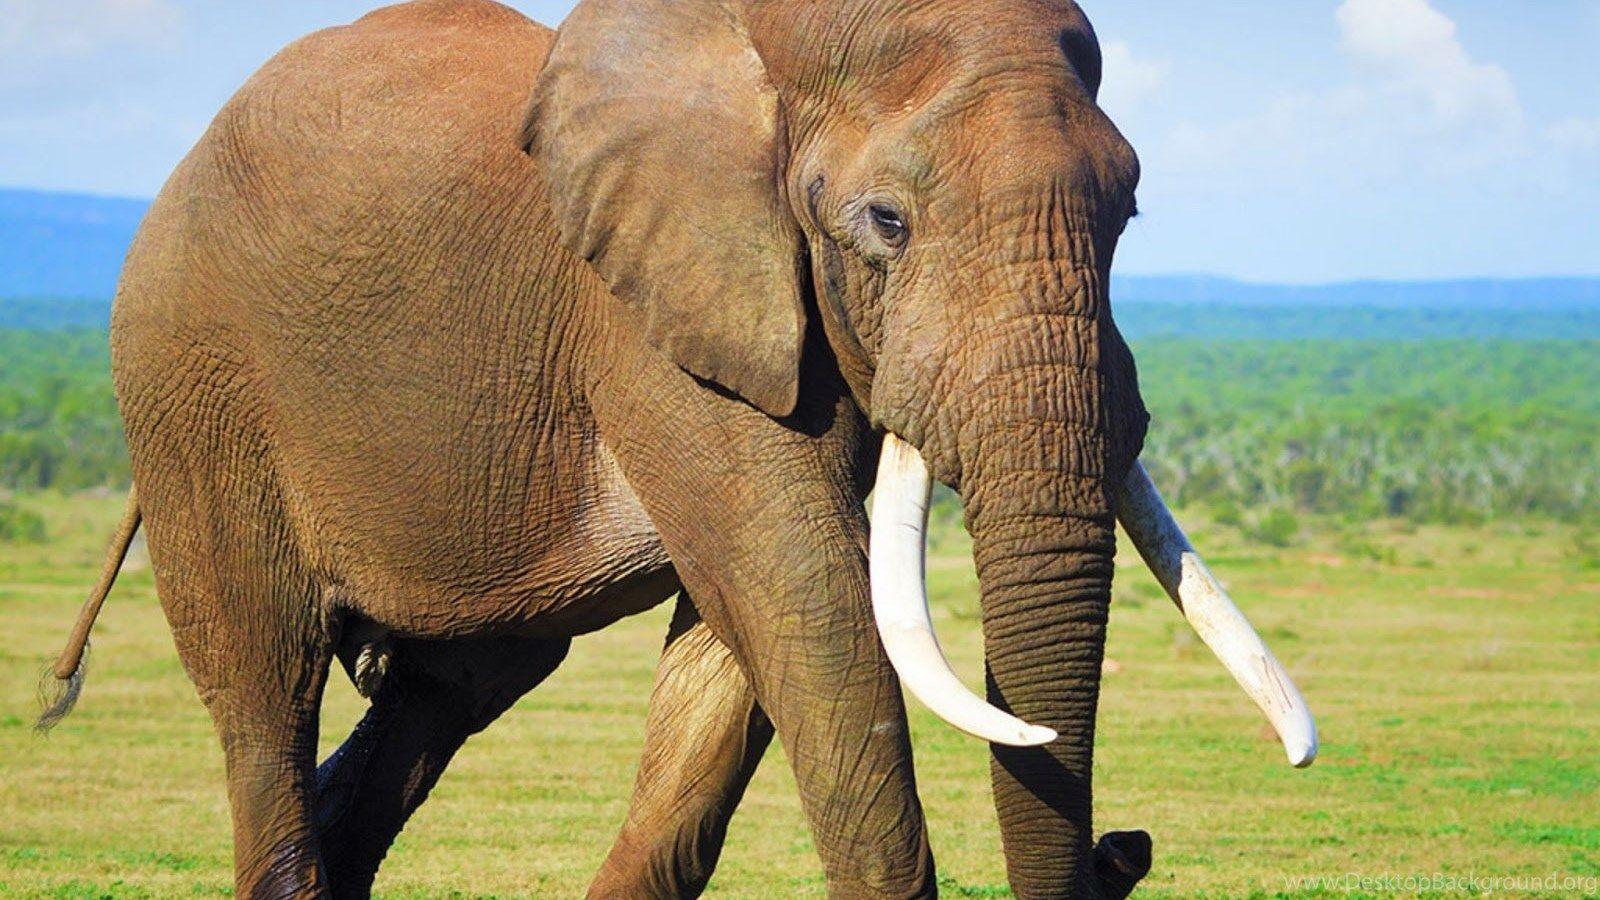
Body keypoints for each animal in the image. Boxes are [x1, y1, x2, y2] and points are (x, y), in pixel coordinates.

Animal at [37, 0, 1318, 896]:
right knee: (268, 687)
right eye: (885, 224)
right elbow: (802, 594)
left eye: (1129, 214)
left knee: (448, 688)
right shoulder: (650, 313)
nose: (1125, 843)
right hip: (190, 384)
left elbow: (742, 646)